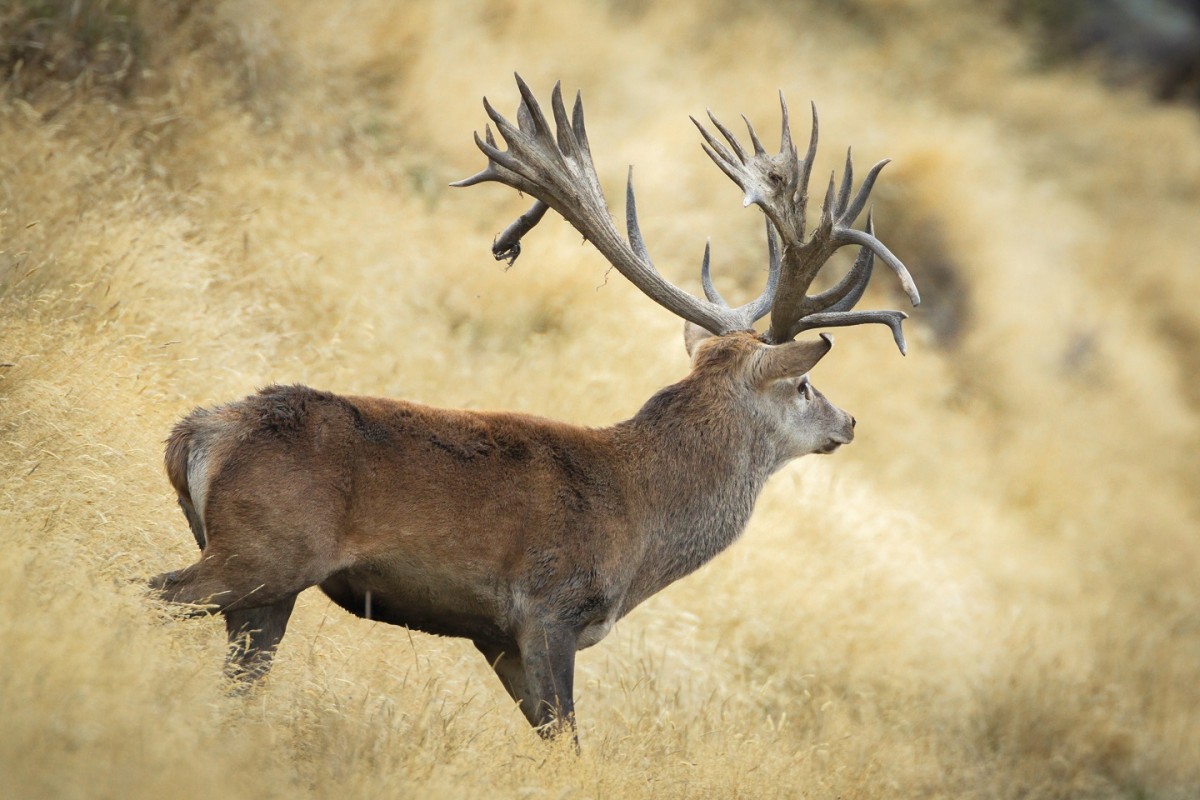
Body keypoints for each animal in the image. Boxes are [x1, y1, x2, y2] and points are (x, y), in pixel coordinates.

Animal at [149, 75, 919, 741]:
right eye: (805, 386)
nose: (849, 422)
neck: (641, 520)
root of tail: (198, 433)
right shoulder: (551, 609)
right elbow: (571, 742)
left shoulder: (500, 639)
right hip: (265, 548)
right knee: (152, 590)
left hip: (263, 590)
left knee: (237, 674)